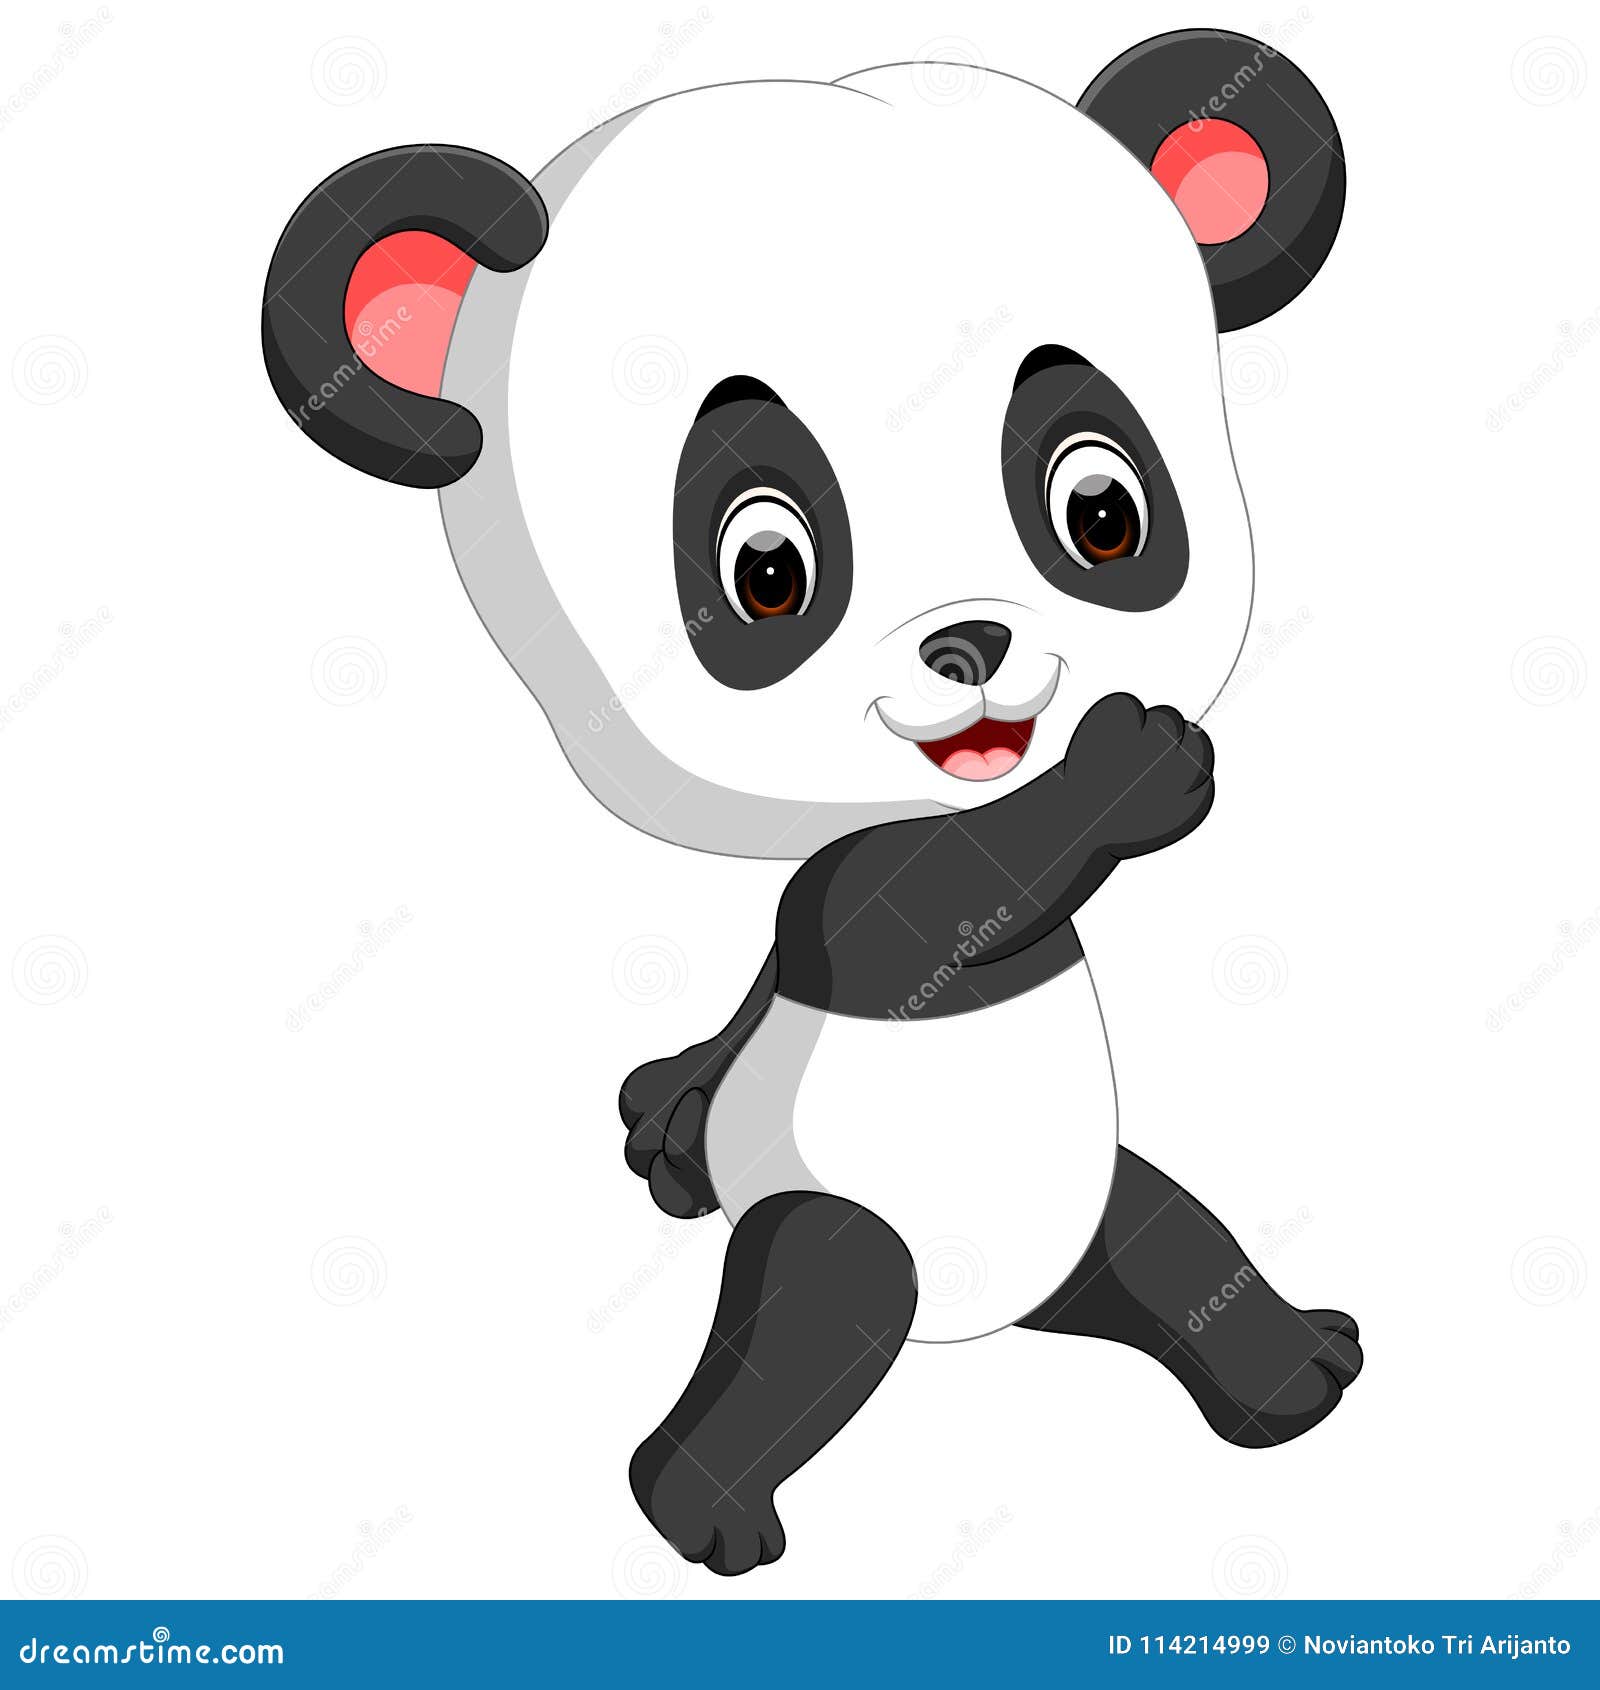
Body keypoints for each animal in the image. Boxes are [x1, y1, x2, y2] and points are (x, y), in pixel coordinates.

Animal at [263, 30, 1360, 1577]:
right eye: (766, 570)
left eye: (1103, 511)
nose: (969, 643)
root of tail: (989, 1316)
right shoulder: (857, 893)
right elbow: (944, 907)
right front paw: (1135, 770)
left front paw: (671, 1103)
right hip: (854, 1218)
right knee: (821, 1315)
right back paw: (701, 1500)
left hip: (1089, 1196)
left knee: (1167, 1234)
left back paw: (1289, 1367)